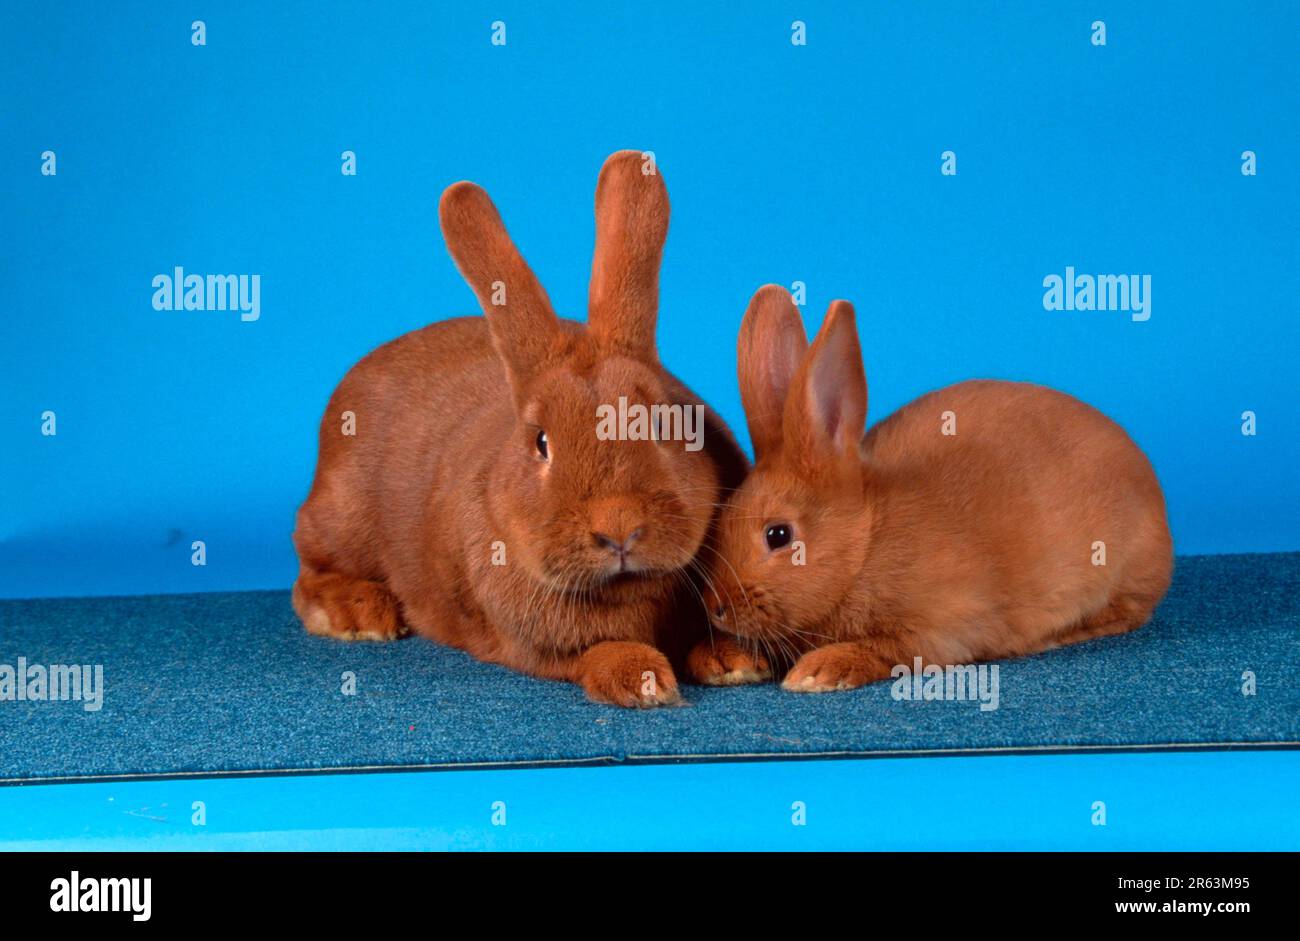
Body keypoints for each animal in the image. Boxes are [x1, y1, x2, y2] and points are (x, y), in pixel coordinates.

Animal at [291, 150, 750, 707]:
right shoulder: (526, 644)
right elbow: (590, 655)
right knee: (307, 570)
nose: (619, 526)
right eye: (541, 442)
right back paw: (360, 614)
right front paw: (641, 679)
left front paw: (733, 660)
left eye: (663, 422)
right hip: (341, 520)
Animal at [690, 283, 1173, 692]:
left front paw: (821, 670)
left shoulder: (943, 629)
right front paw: (721, 661)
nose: (715, 607)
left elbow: (892, 649)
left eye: (778, 535)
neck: (864, 546)